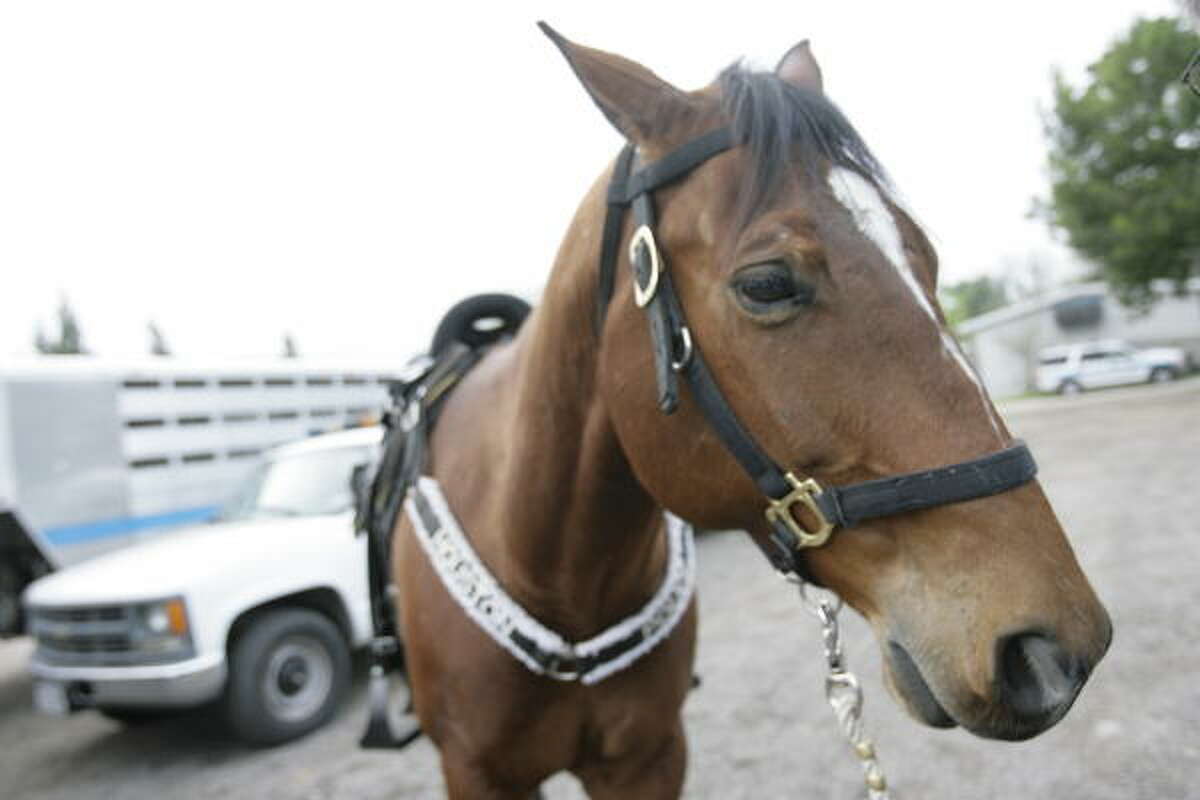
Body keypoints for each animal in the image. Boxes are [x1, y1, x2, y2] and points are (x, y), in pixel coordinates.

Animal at [388, 25, 1112, 798]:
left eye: (928, 260)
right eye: (766, 284)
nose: (1051, 649)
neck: (559, 578)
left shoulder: (648, 756)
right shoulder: (476, 771)